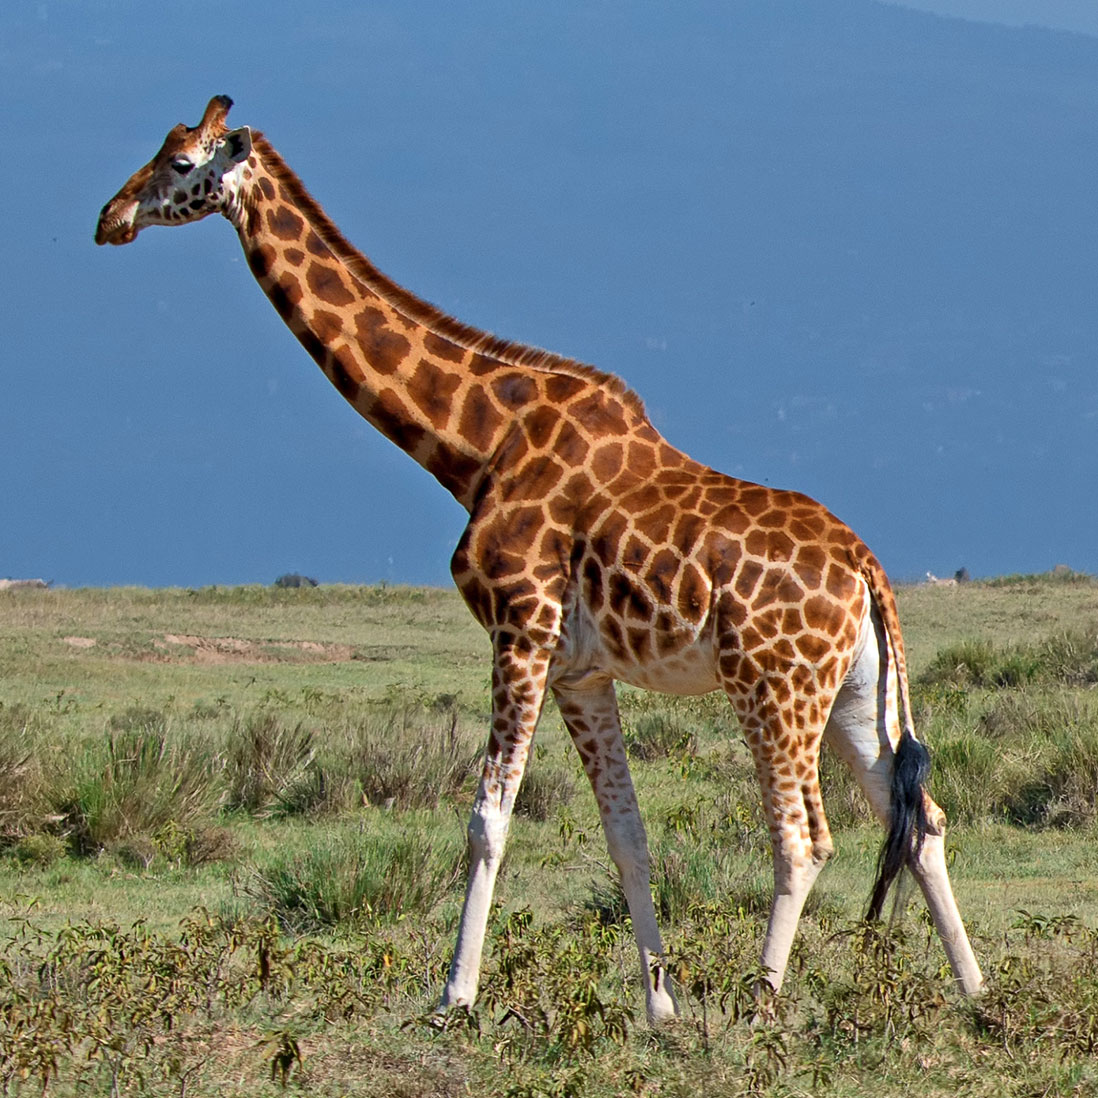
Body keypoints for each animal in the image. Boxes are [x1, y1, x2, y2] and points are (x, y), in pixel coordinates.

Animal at [95, 96, 983, 1022]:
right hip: (854, 694)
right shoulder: (580, 672)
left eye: (180, 162)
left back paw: (760, 1006)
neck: (477, 444)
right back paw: (977, 995)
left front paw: (454, 997)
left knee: (804, 837)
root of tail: (866, 568)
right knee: (922, 820)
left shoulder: (519, 630)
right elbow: (625, 834)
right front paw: (659, 1008)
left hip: (773, 685)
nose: (108, 219)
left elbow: (488, 820)